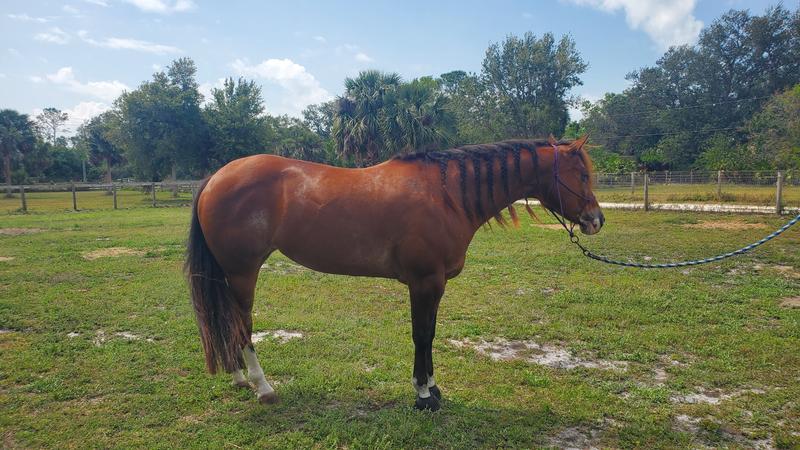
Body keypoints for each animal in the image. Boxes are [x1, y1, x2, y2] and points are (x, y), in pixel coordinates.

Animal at [185, 135, 603, 411]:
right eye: (581, 175)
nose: (595, 220)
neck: (446, 195)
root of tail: (215, 178)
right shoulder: (424, 282)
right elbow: (422, 335)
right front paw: (423, 396)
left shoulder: (435, 285)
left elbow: (430, 334)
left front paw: (433, 388)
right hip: (243, 273)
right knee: (242, 325)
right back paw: (263, 386)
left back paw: (238, 377)